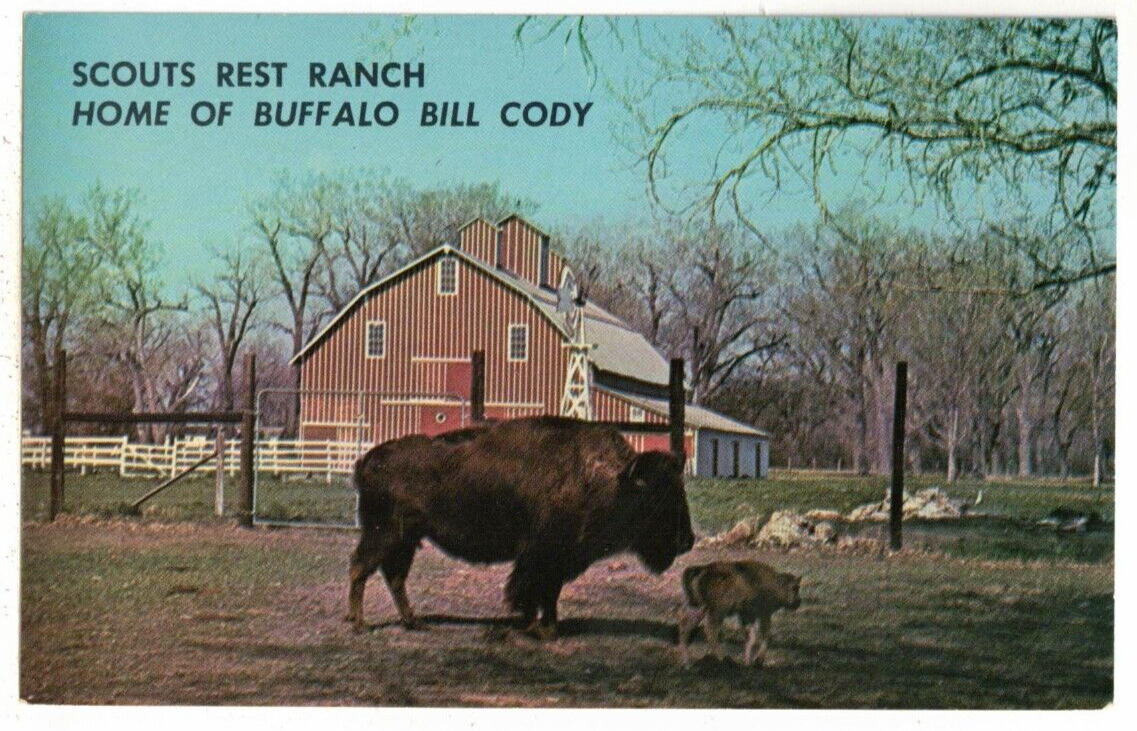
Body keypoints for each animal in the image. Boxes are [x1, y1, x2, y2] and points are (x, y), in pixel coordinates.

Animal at [346, 415, 695, 637]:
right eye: (659, 496)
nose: (687, 541)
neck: (612, 479)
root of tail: (366, 461)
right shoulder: (546, 556)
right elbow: (539, 590)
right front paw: (543, 629)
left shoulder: (552, 559)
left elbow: (546, 592)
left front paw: (538, 625)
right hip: (384, 534)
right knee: (361, 568)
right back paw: (361, 624)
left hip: (405, 539)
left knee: (393, 576)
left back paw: (413, 622)